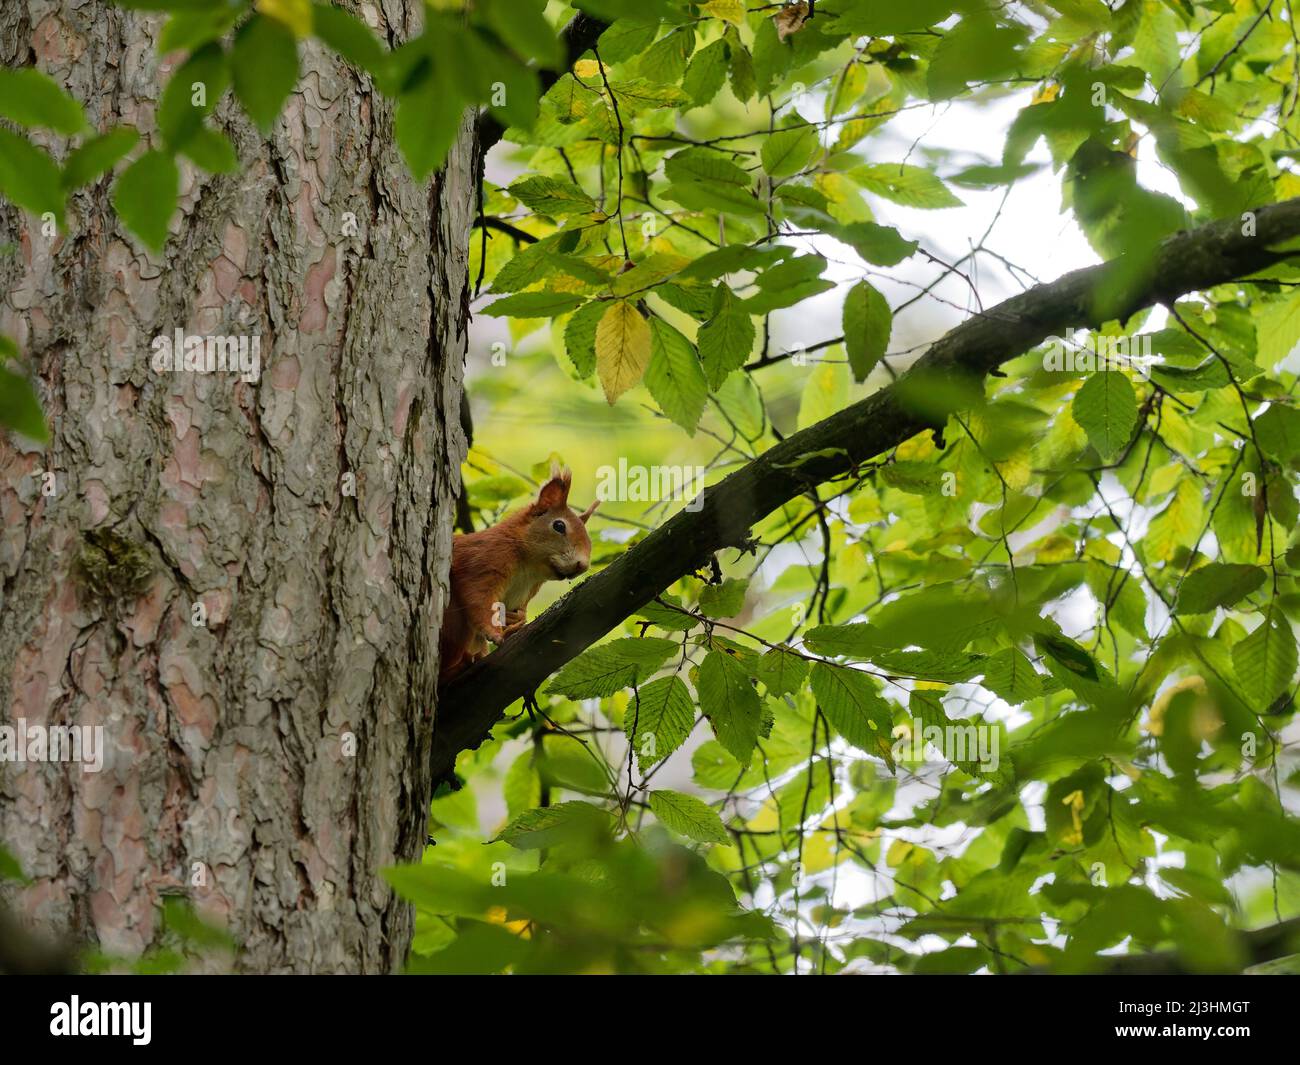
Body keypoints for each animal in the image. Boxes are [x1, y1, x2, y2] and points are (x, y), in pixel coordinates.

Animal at [438, 463, 599, 683]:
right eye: (559, 525)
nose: (582, 565)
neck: (528, 568)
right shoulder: (485, 559)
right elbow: (478, 597)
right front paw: (494, 632)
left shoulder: (525, 592)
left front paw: (518, 620)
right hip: (452, 624)